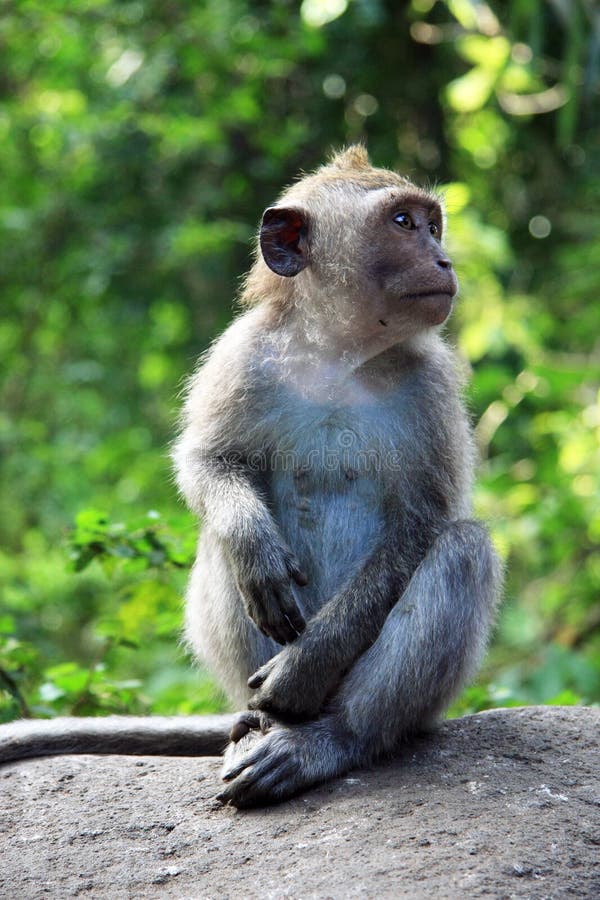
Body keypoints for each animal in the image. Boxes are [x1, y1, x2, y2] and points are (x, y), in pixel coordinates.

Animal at [0, 148, 502, 806]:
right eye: (402, 223)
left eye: (432, 225)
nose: (444, 261)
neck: (338, 354)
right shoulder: (240, 355)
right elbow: (208, 463)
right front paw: (253, 546)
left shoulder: (434, 385)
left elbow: (422, 522)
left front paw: (304, 666)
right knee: (223, 547)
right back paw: (252, 720)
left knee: (463, 549)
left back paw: (325, 738)